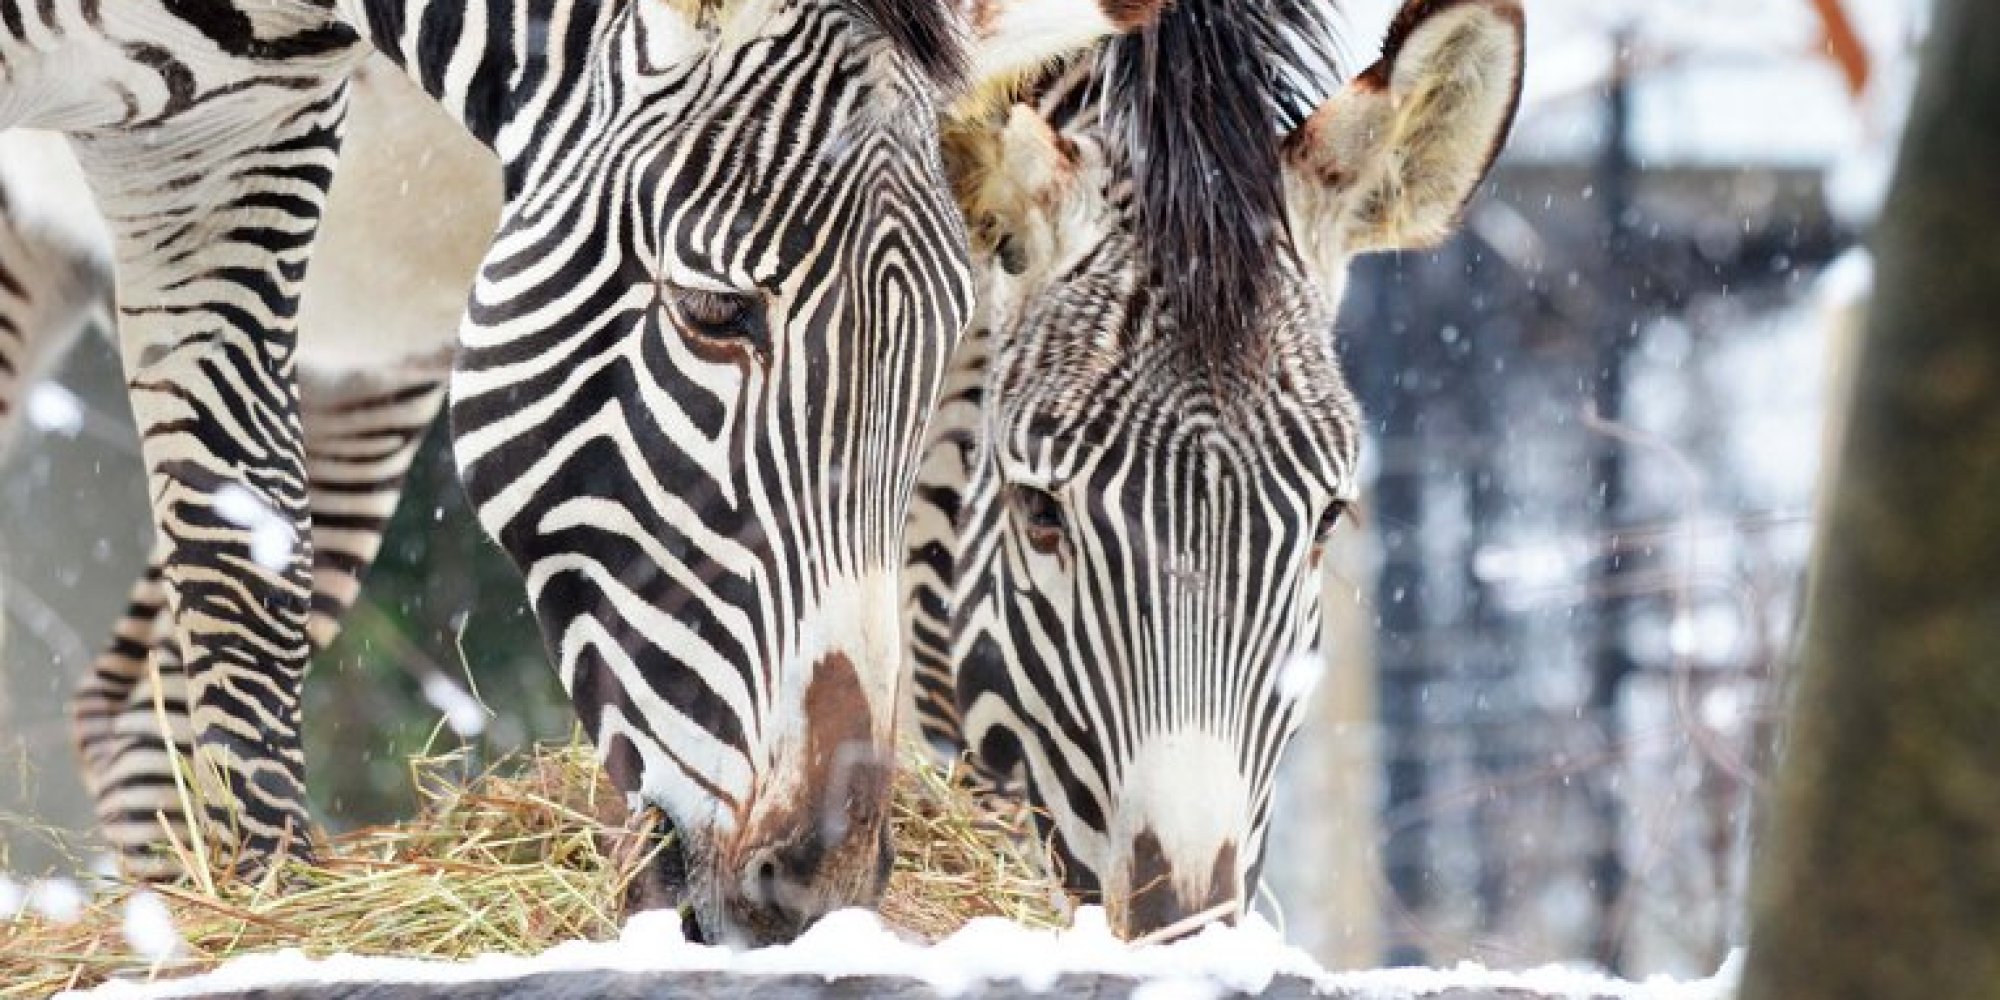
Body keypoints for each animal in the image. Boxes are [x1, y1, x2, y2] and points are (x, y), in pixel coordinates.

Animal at [0, 0, 1160, 944]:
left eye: (937, 345)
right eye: (712, 311)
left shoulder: (222, 140)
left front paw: (270, 906)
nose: (820, 885)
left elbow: (243, 549)